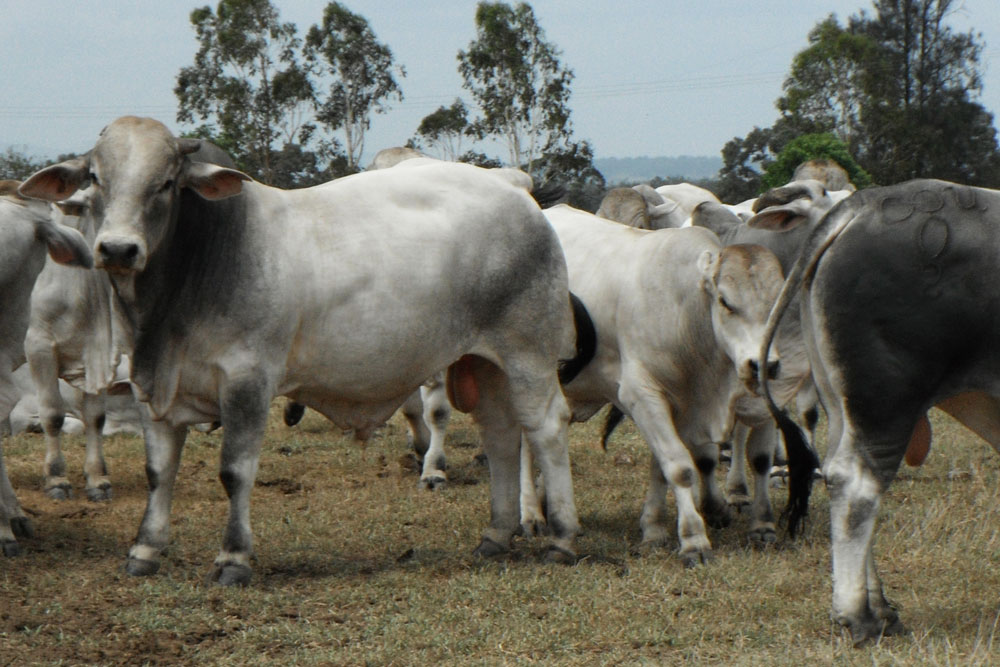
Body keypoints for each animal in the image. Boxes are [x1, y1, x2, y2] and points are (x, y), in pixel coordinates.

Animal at [19, 116, 593, 585]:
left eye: (165, 183)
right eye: (96, 178)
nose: (118, 249)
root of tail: (514, 187)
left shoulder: (248, 381)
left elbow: (235, 471)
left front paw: (233, 559)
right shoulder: (156, 387)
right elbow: (160, 472)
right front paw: (144, 550)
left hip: (528, 353)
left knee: (545, 427)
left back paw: (561, 537)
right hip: (483, 361)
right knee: (501, 435)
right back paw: (496, 534)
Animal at [538, 203, 800, 565]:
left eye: (778, 305)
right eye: (725, 301)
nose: (765, 365)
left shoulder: (686, 406)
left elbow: (665, 467)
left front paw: (656, 529)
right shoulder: (642, 396)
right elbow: (679, 467)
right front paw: (693, 540)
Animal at [755, 179, 1000, 644]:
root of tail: (866, 202)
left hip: (842, 402)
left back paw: (880, 608)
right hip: (885, 400)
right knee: (857, 483)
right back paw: (859, 616)